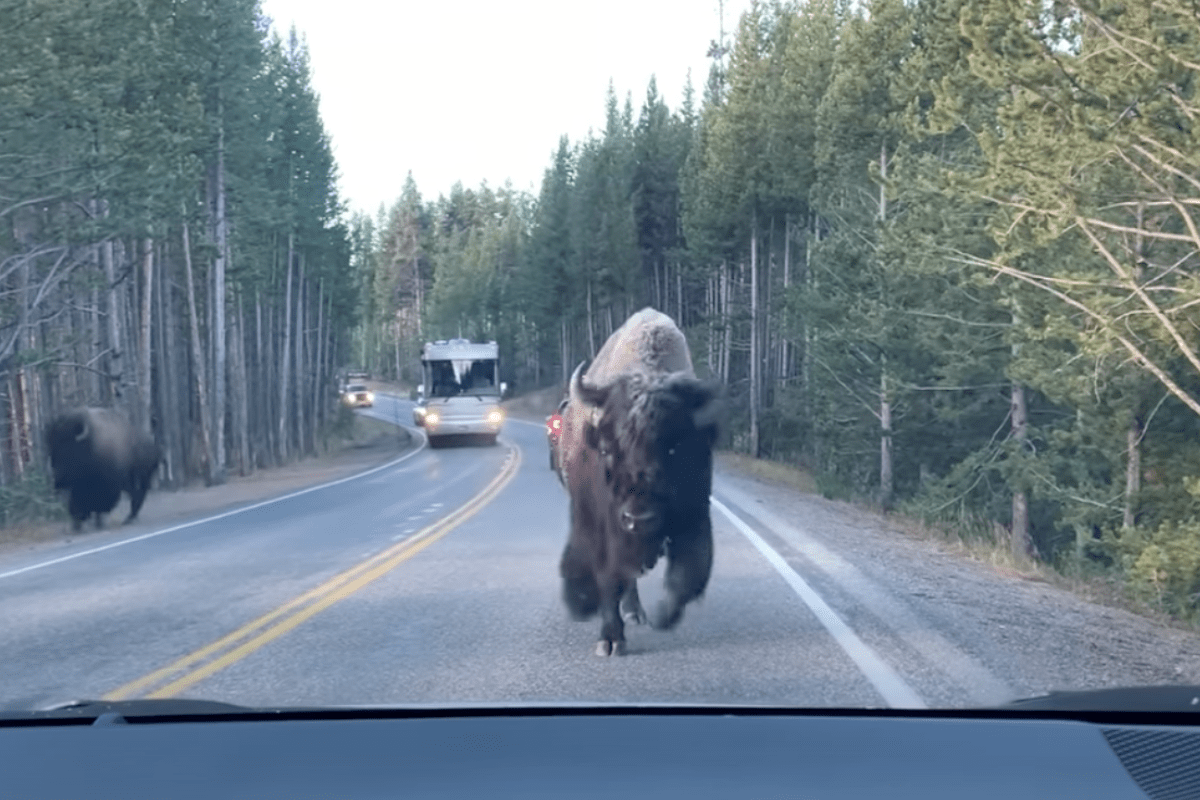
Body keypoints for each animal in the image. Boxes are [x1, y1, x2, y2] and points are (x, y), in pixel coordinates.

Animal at [558, 308, 722, 656]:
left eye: (675, 447)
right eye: (607, 449)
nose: (638, 518)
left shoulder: (695, 515)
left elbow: (689, 573)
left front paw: (662, 615)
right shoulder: (603, 528)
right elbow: (609, 576)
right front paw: (610, 640)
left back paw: (637, 612)